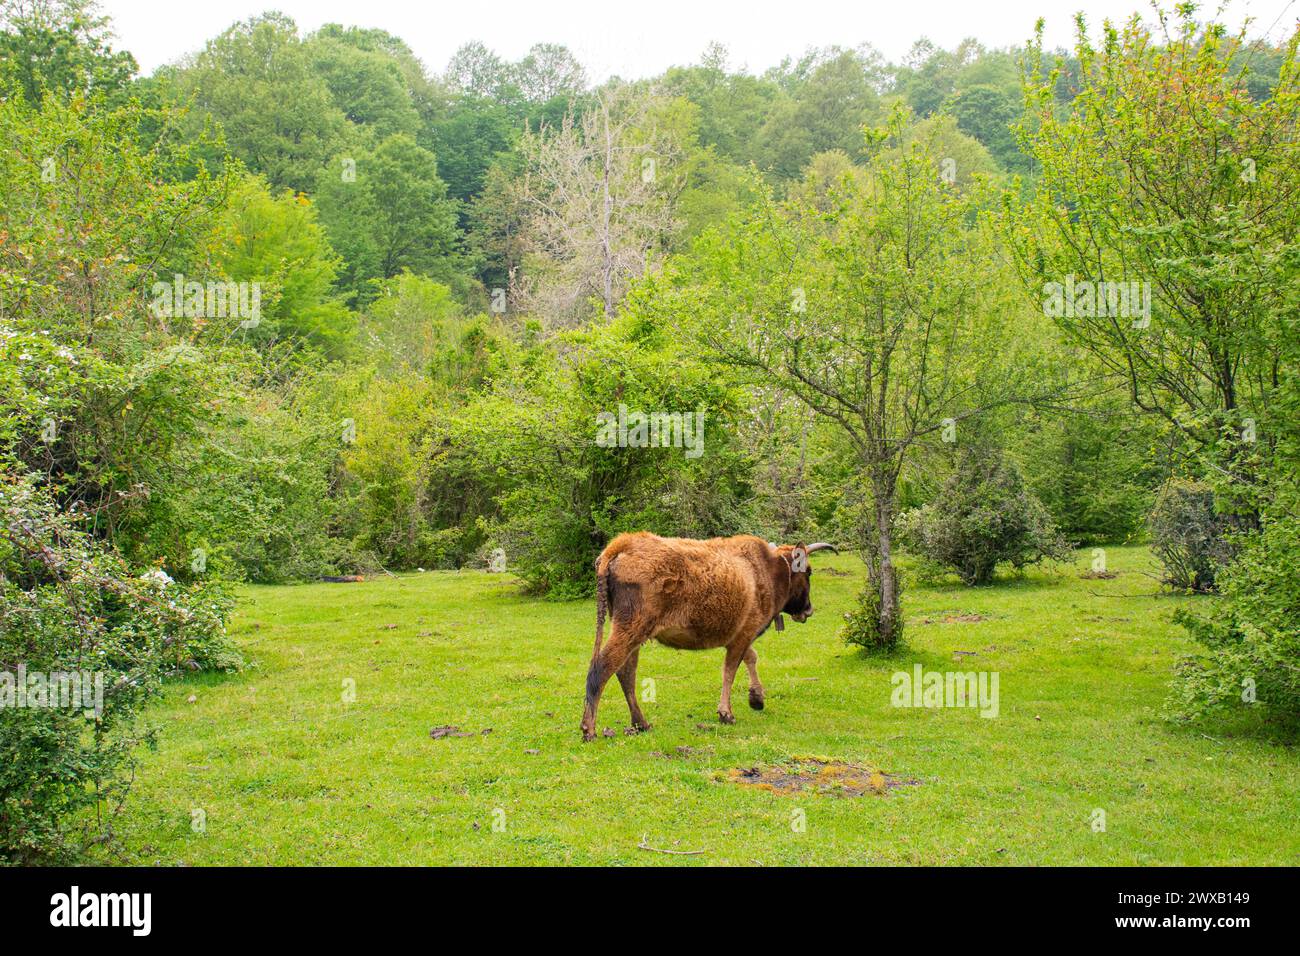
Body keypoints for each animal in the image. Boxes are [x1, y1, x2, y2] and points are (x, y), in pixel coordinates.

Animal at [580, 532, 837, 741]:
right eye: (809, 571)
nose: (808, 610)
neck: (767, 569)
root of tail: (621, 544)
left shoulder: (741, 634)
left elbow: (751, 658)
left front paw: (756, 698)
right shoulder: (745, 632)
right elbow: (730, 670)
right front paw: (726, 713)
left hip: (630, 631)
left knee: (625, 673)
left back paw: (640, 723)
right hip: (630, 628)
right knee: (602, 668)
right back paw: (589, 729)